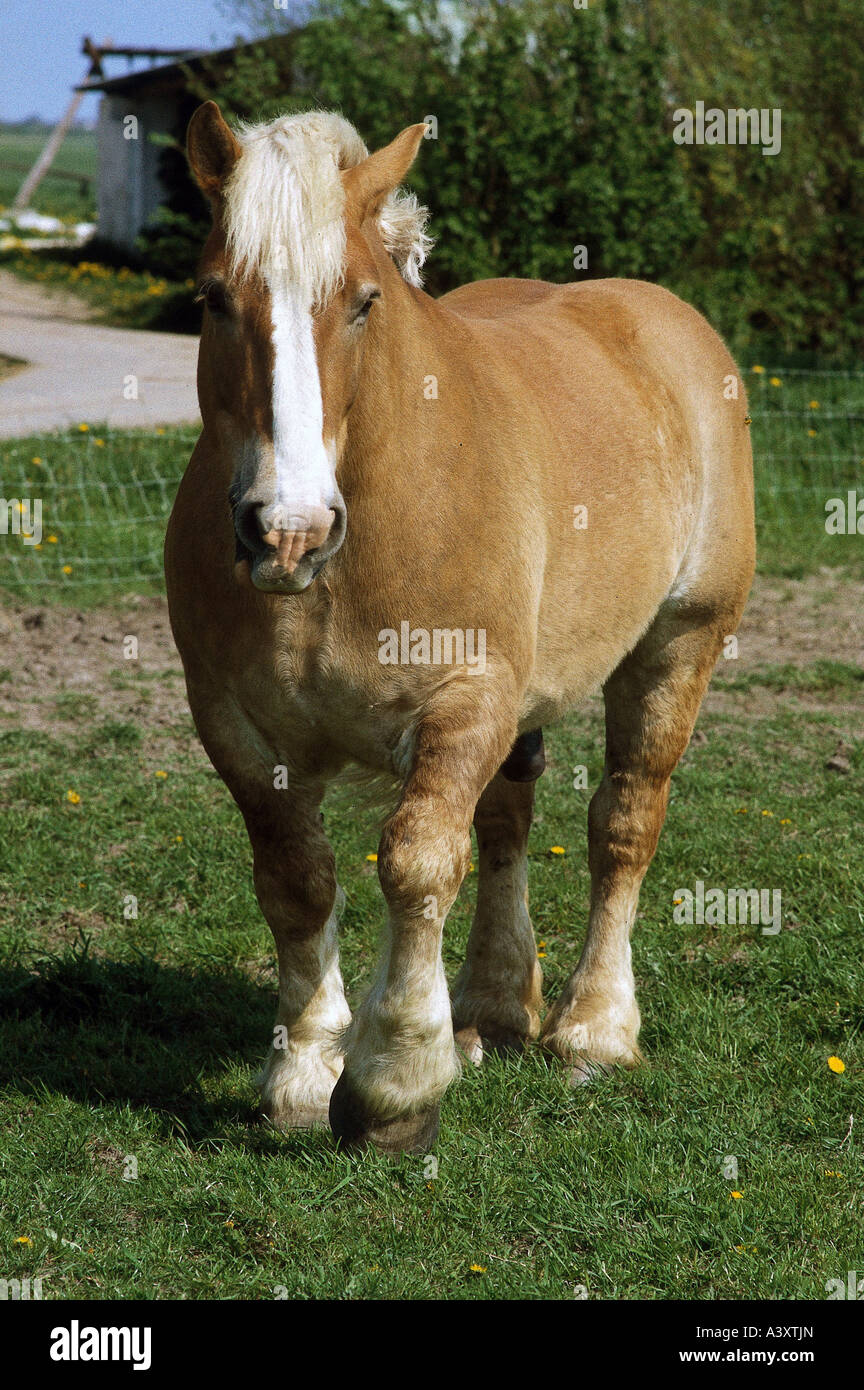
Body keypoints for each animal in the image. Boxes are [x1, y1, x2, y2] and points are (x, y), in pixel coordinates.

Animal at [165, 101, 755, 1154]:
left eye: (363, 302)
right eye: (212, 297)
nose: (289, 528)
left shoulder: (465, 700)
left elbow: (415, 863)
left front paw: (394, 1084)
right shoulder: (236, 730)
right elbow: (297, 882)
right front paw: (305, 1072)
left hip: (679, 646)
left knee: (624, 824)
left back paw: (594, 1028)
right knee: (509, 824)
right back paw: (490, 1010)